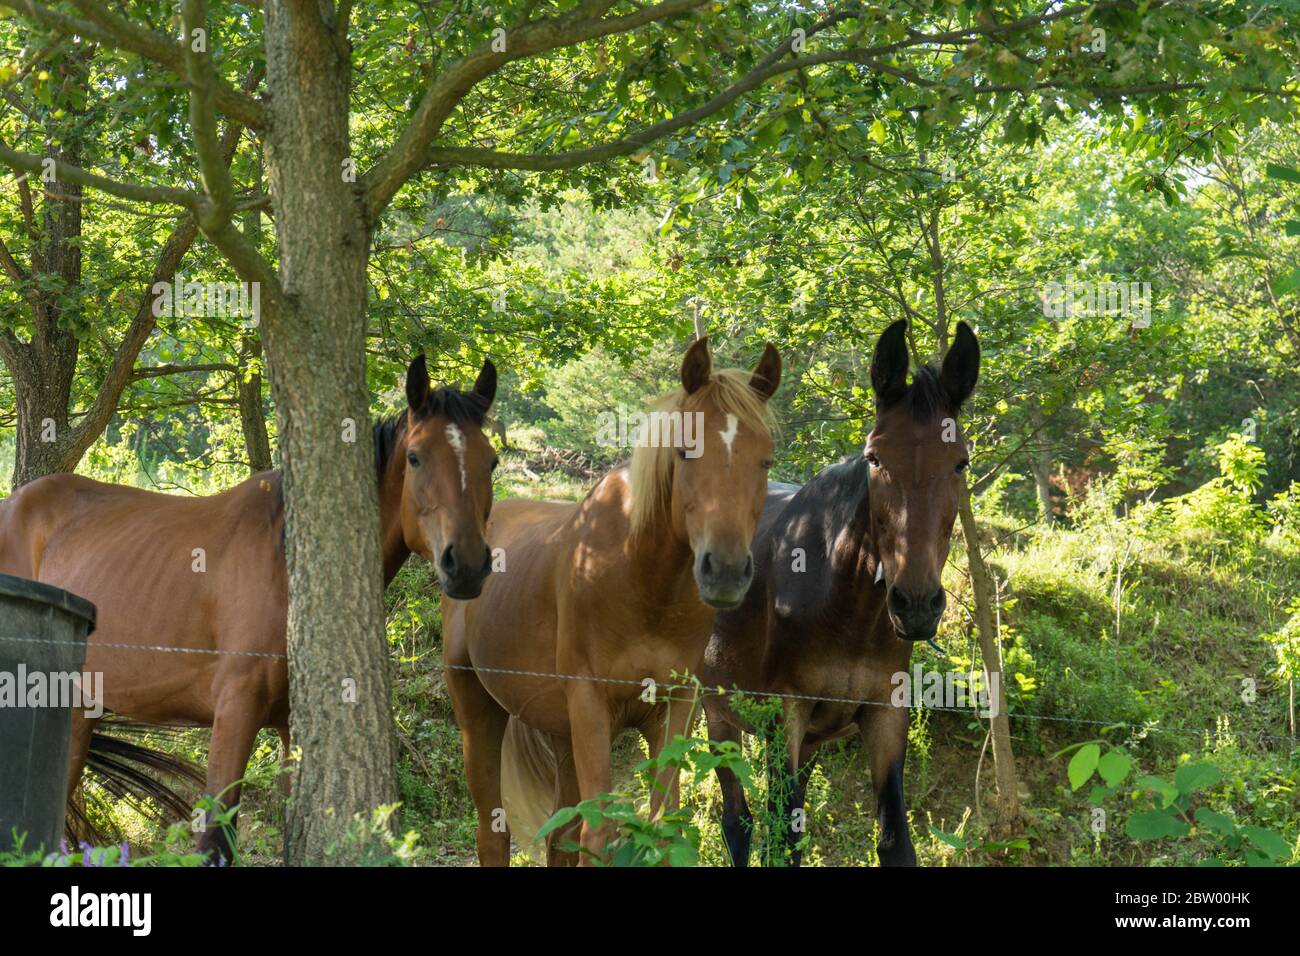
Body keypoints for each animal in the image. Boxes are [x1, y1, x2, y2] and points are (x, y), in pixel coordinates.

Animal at [0, 355, 498, 861]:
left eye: (491, 461)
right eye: (416, 457)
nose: (467, 565)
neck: (284, 560)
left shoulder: (291, 726)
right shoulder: (235, 709)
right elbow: (215, 838)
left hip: (77, 707)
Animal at [442, 337, 781, 865]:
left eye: (765, 460)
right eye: (685, 451)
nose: (725, 570)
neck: (640, 582)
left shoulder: (674, 708)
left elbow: (662, 828)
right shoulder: (590, 706)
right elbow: (598, 834)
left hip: (559, 735)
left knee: (559, 833)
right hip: (478, 713)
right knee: (493, 832)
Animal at [700, 319, 980, 866]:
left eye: (960, 463)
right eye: (874, 458)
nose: (916, 604)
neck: (846, 609)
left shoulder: (884, 717)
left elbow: (894, 840)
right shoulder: (783, 716)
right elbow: (779, 839)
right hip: (718, 712)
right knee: (738, 823)